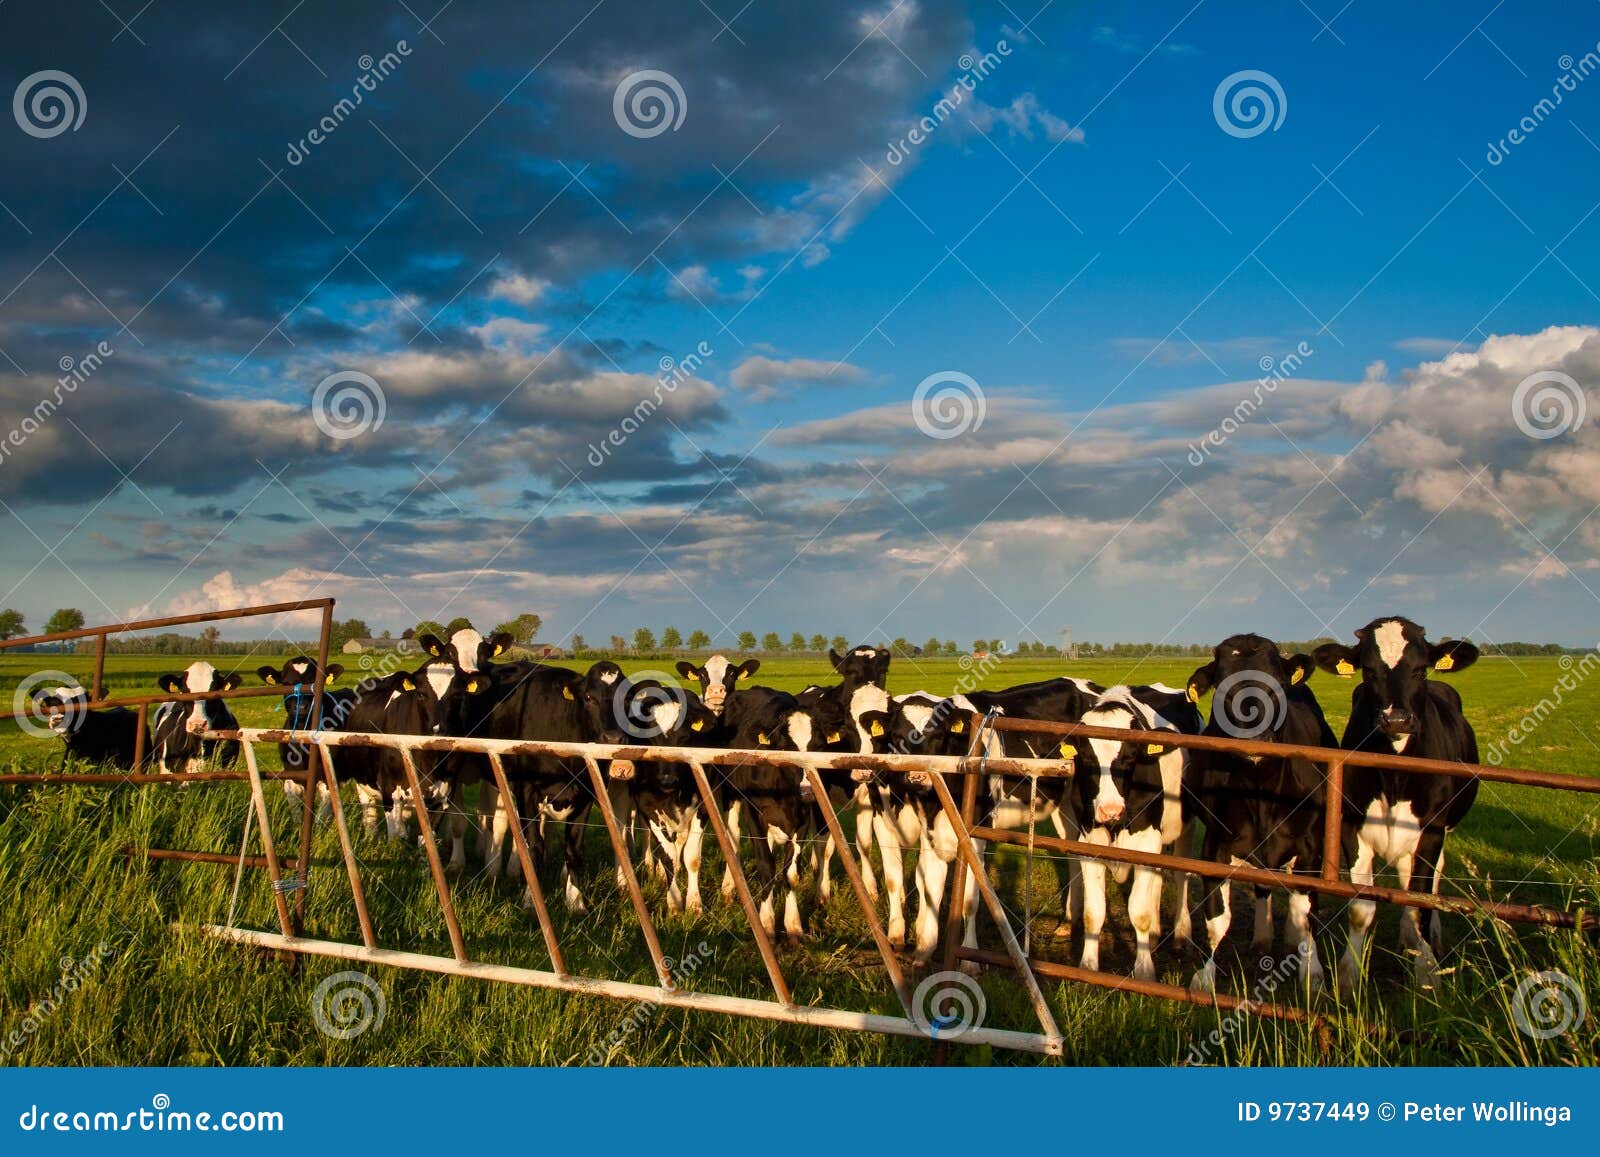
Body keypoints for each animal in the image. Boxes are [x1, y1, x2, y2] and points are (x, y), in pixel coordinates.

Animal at [1059, 684, 1202, 980]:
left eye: (1130, 757)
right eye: (1086, 758)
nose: (1110, 810)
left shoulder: (1146, 842)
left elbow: (1139, 912)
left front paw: (1144, 970)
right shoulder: (1088, 844)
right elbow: (1094, 912)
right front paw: (1088, 967)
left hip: (1186, 826)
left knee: (1180, 876)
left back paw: (1182, 935)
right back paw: (1158, 933)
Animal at [1183, 636, 1337, 994]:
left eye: (1277, 684)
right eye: (1222, 686)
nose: (1254, 740)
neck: (1260, 791)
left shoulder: (1310, 847)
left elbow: (1305, 911)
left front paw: (1312, 974)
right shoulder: (1215, 844)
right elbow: (1217, 919)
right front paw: (1205, 976)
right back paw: (1262, 937)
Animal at [1313, 617, 1481, 991]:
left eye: (1420, 669)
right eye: (1368, 671)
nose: (1397, 719)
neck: (1394, 777)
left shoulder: (1431, 832)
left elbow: (1420, 902)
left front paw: (1428, 975)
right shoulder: (1352, 827)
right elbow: (1361, 908)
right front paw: (1349, 976)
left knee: (1430, 881)